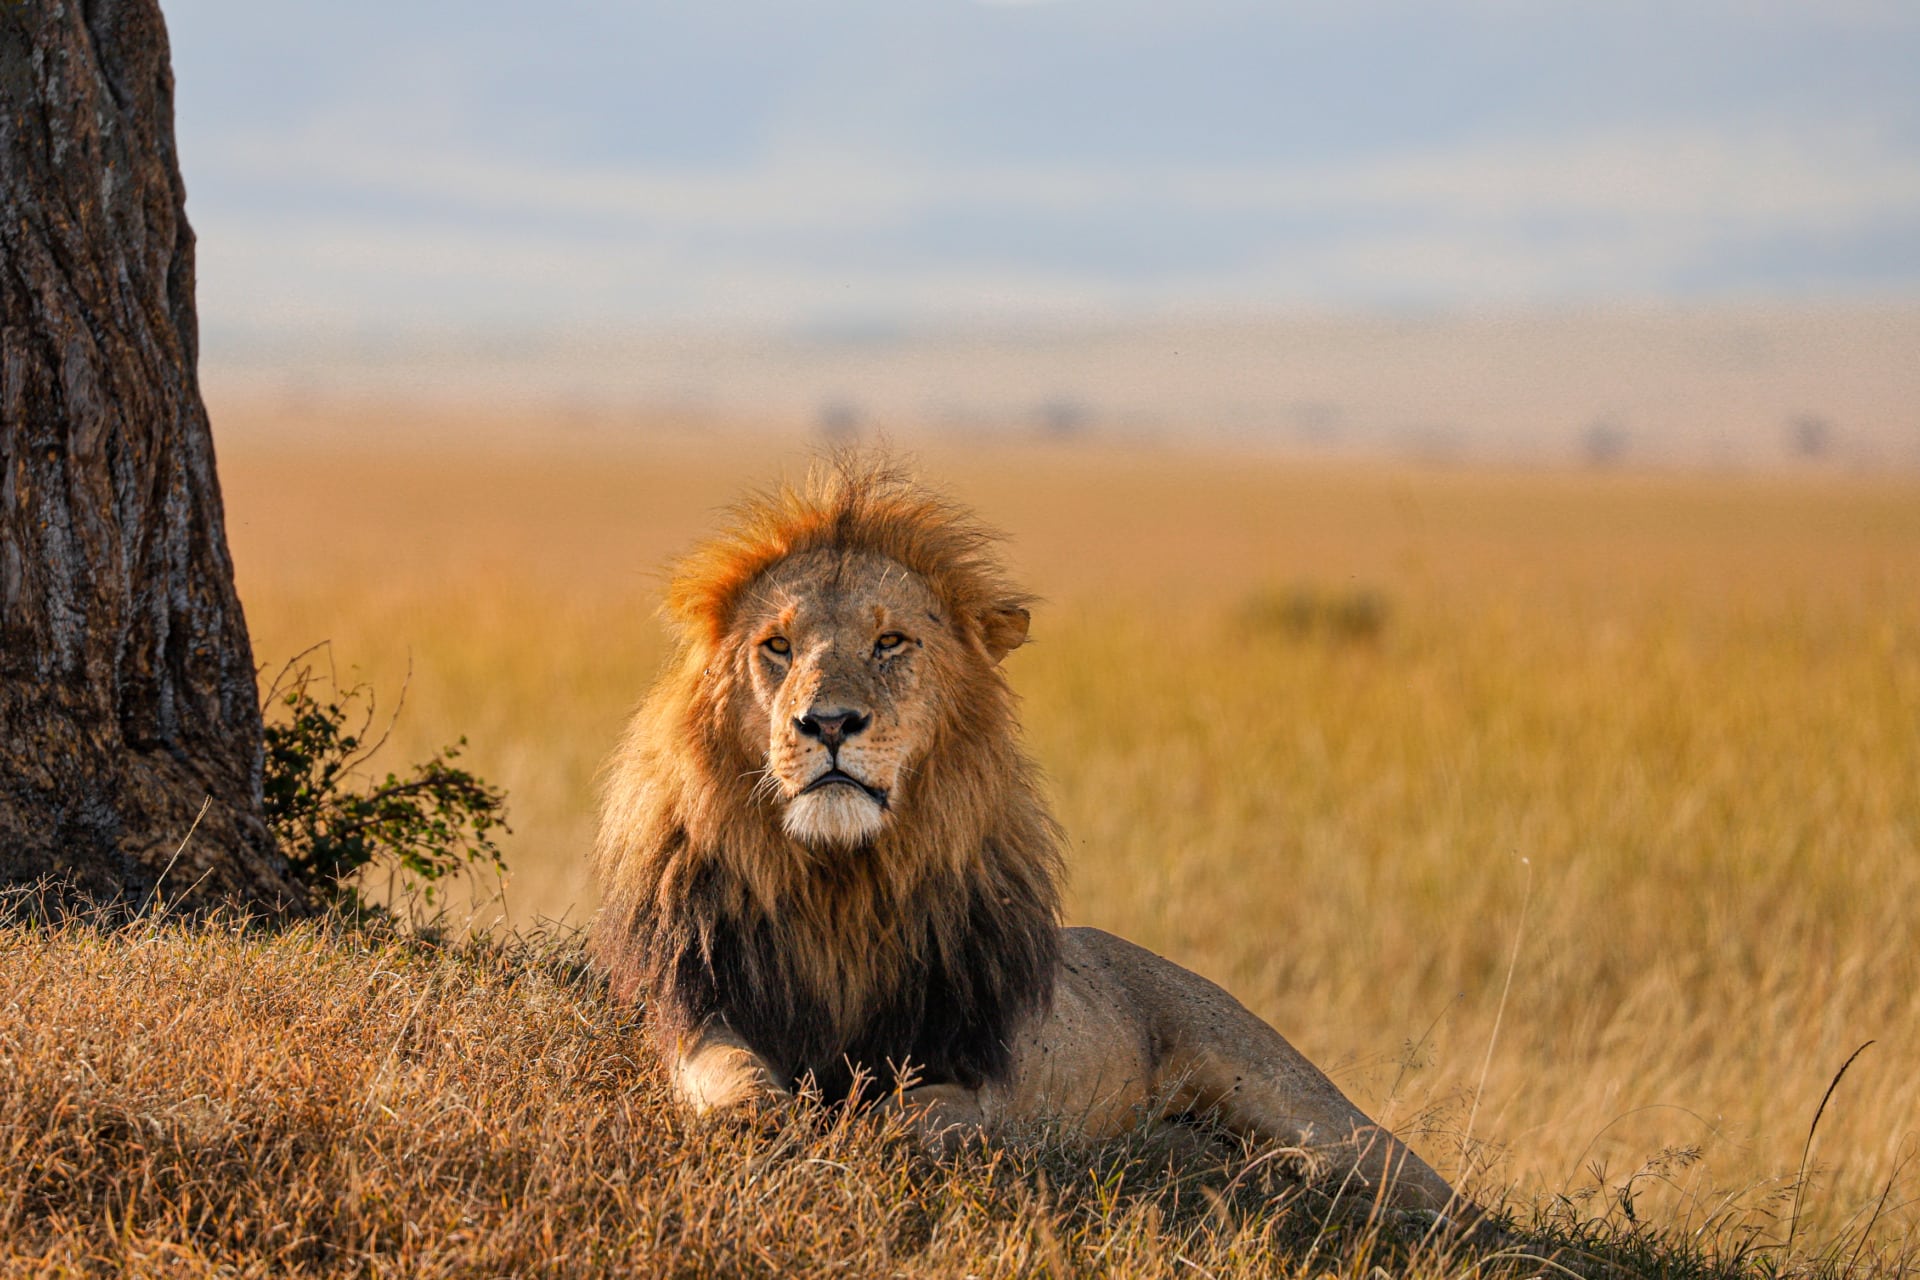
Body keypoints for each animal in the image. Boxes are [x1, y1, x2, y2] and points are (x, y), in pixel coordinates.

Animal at [591, 453, 1471, 1221]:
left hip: (1301, 1101)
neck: (843, 881)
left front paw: (862, 1130)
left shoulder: (986, 1072)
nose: (829, 723)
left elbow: (917, 1111)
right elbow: (726, 1072)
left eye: (890, 642)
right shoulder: (698, 1004)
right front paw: (766, 1119)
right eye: (776, 646)